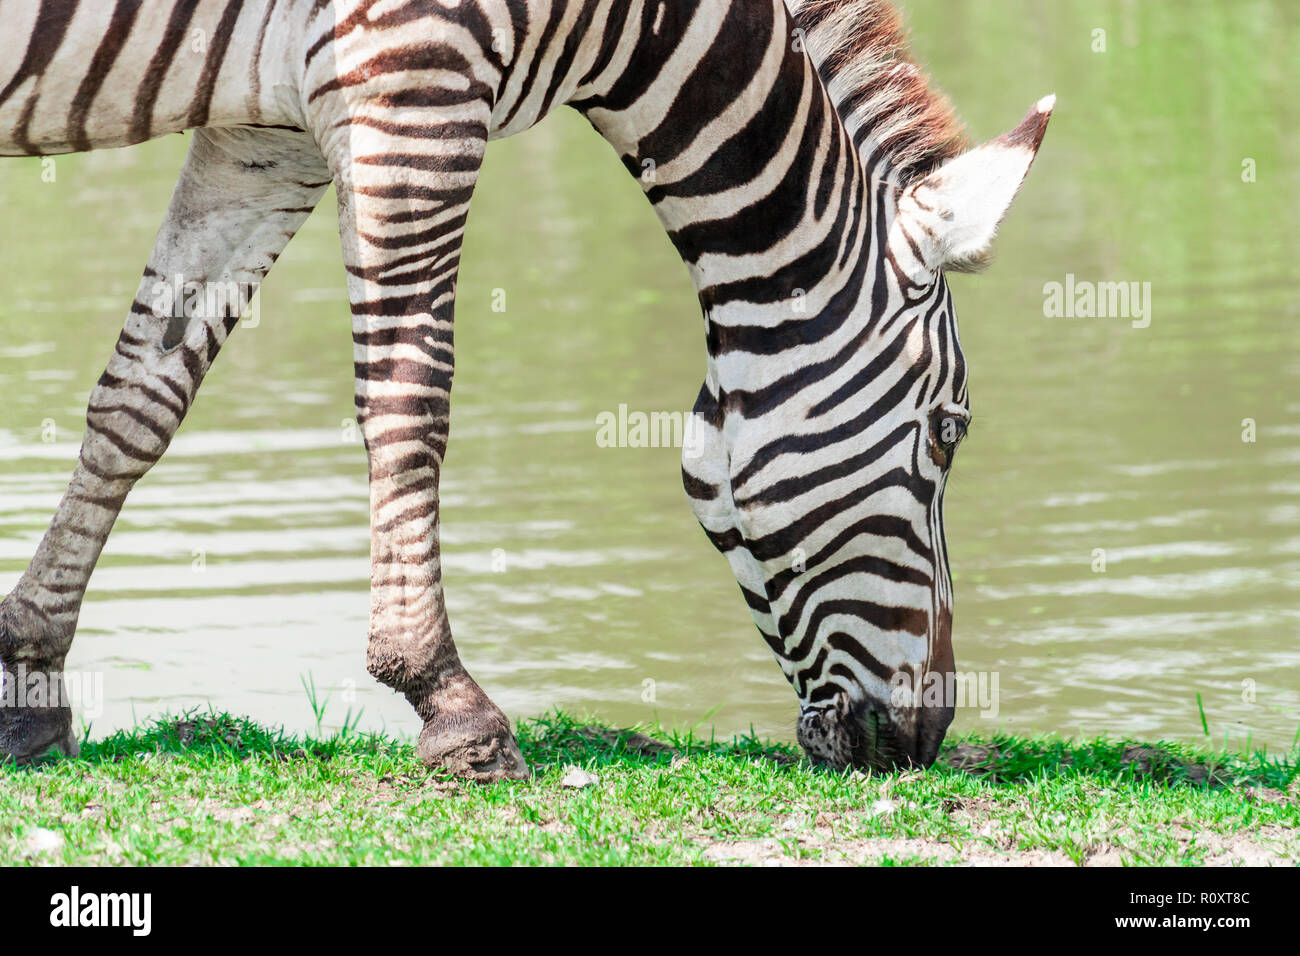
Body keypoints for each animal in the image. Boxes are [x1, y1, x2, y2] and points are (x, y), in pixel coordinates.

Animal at [0, 0, 1050, 779]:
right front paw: (448, 703)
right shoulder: (411, 79)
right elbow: (409, 400)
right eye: (949, 434)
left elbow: (143, 394)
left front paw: (32, 675)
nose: (925, 740)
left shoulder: (269, 128)